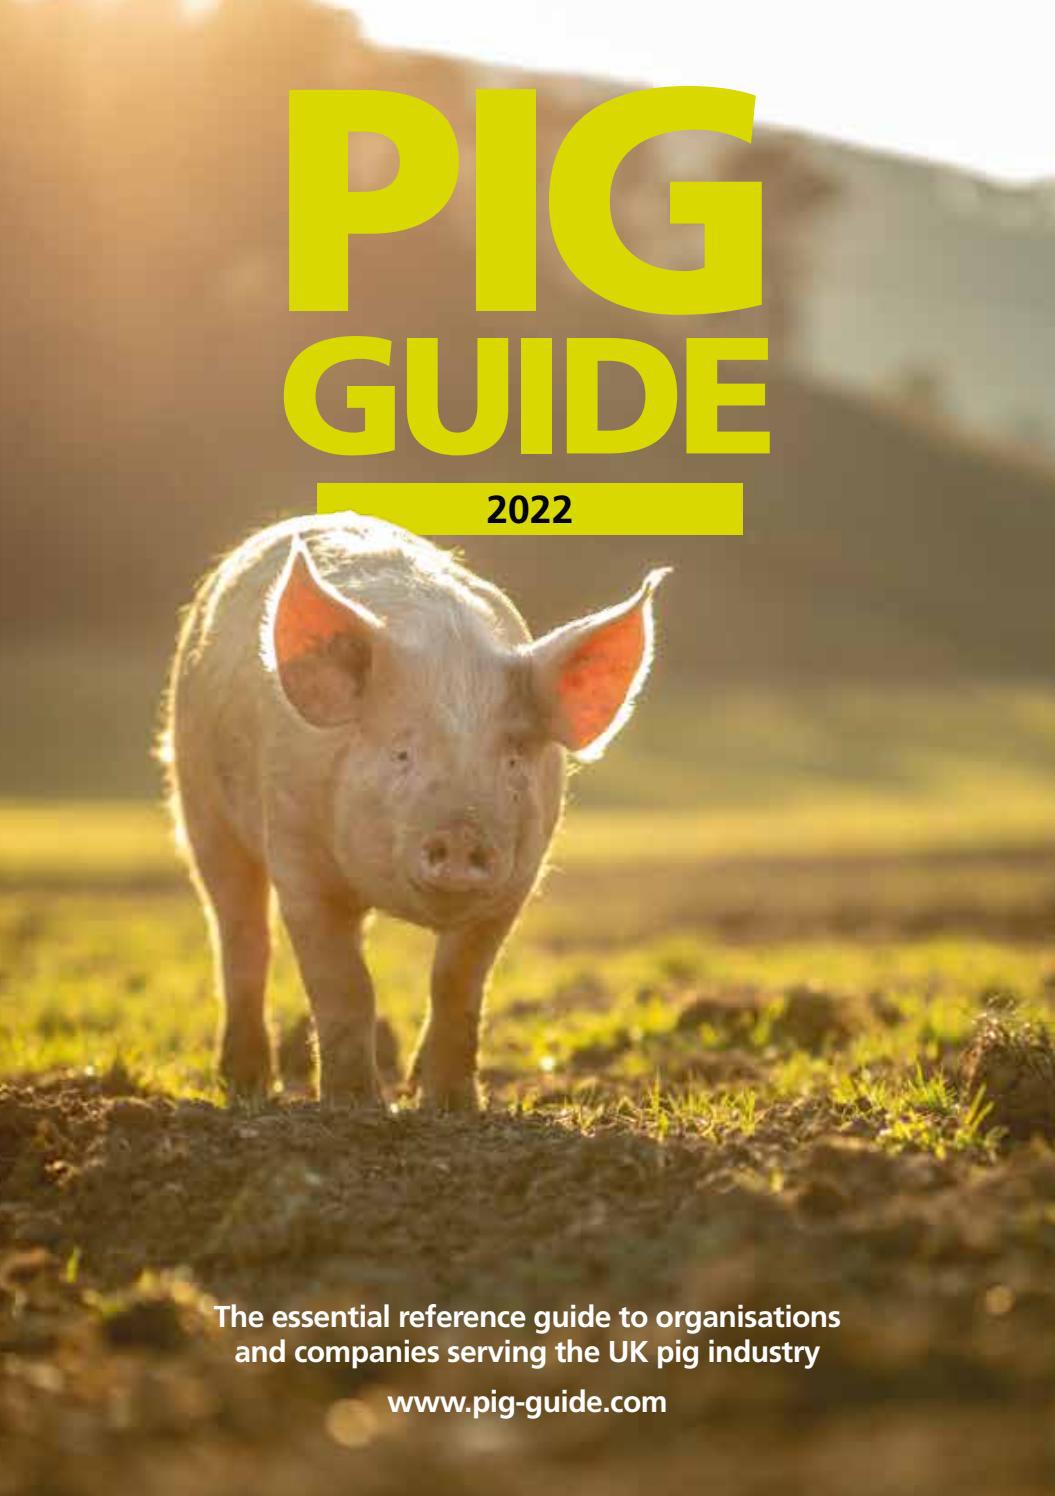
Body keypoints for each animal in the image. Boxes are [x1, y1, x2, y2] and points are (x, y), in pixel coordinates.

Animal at [163, 512, 668, 1110]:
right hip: (199, 803)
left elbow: (458, 984)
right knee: (240, 935)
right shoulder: (298, 855)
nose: (462, 833)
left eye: (513, 761)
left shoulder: (516, 883)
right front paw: (356, 1107)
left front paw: (453, 1107)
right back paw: (247, 1087)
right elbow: (345, 984)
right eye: (402, 753)